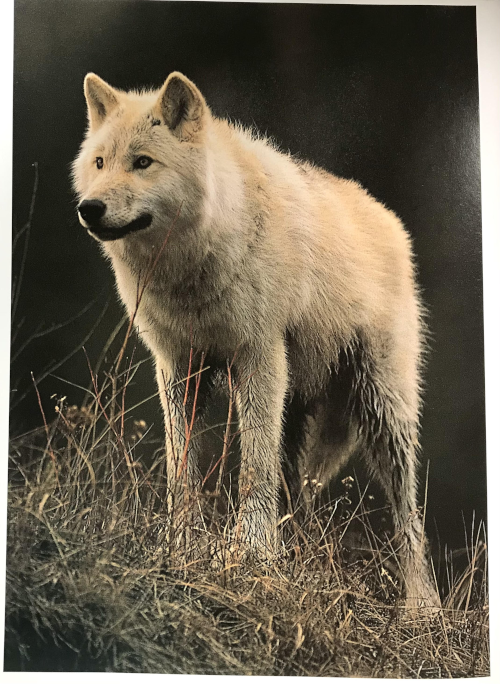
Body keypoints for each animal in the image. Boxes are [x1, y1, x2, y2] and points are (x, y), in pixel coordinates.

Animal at [72, 71, 439, 608]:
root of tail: (391, 221)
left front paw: (248, 554)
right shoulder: (177, 369)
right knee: (300, 496)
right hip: (304, 413)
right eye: (100, 163)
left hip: (381, 411)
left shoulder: (258, 358)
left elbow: (253, 472)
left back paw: (420, 608)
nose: (89, 208)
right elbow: (181, 470)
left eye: (142, 162)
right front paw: (180, 546)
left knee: (407, 516)